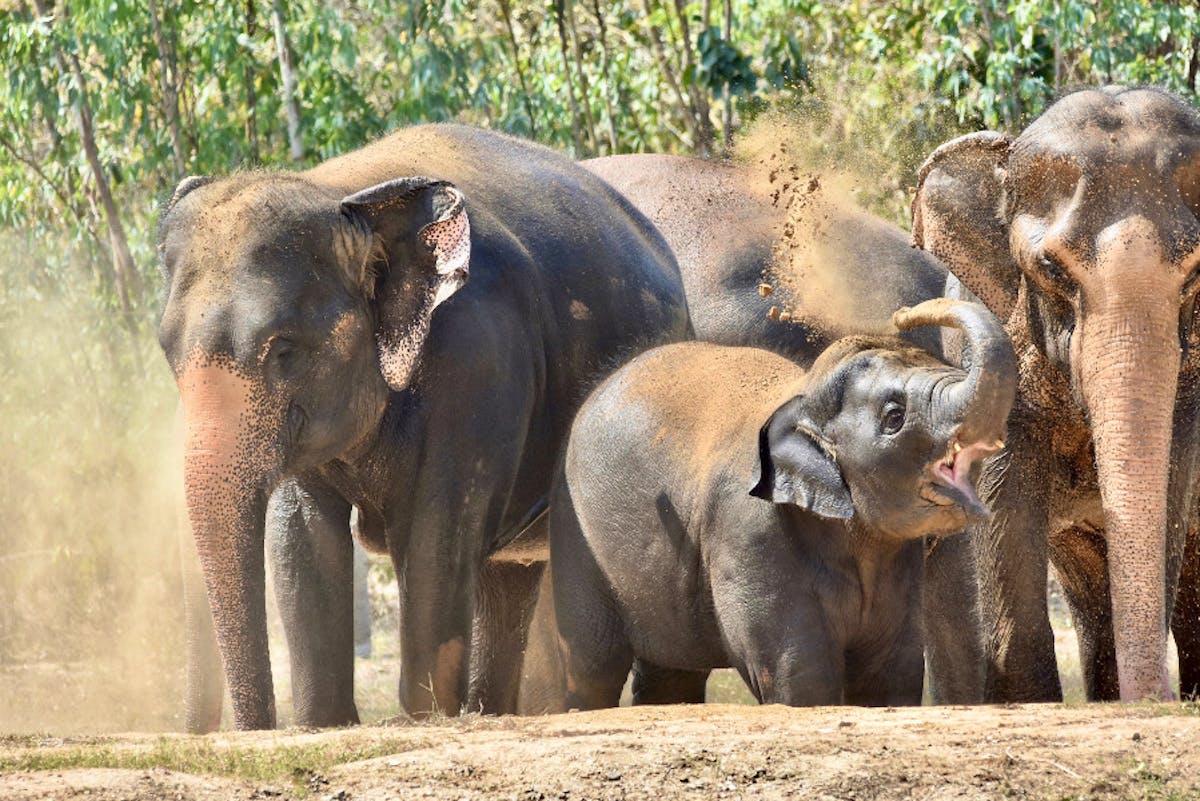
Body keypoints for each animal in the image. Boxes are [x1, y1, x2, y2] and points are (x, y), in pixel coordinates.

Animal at [156, 123, 689, 730]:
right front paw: (325, 723)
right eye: (166, 350)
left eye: (284, 349)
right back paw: (489, 713)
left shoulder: (480, 359)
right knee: (506, 578)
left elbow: (436, 537)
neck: (347, 196)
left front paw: (425, 717)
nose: (246, 728)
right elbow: (303, 540)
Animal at [550, 298, 1017, 708]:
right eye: (894, 416)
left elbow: (890, 673)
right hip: (574, 529)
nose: (903, 314)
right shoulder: (747, 529)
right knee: (593, 665)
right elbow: (799, 671)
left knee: (672, 670)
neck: (803, 393)